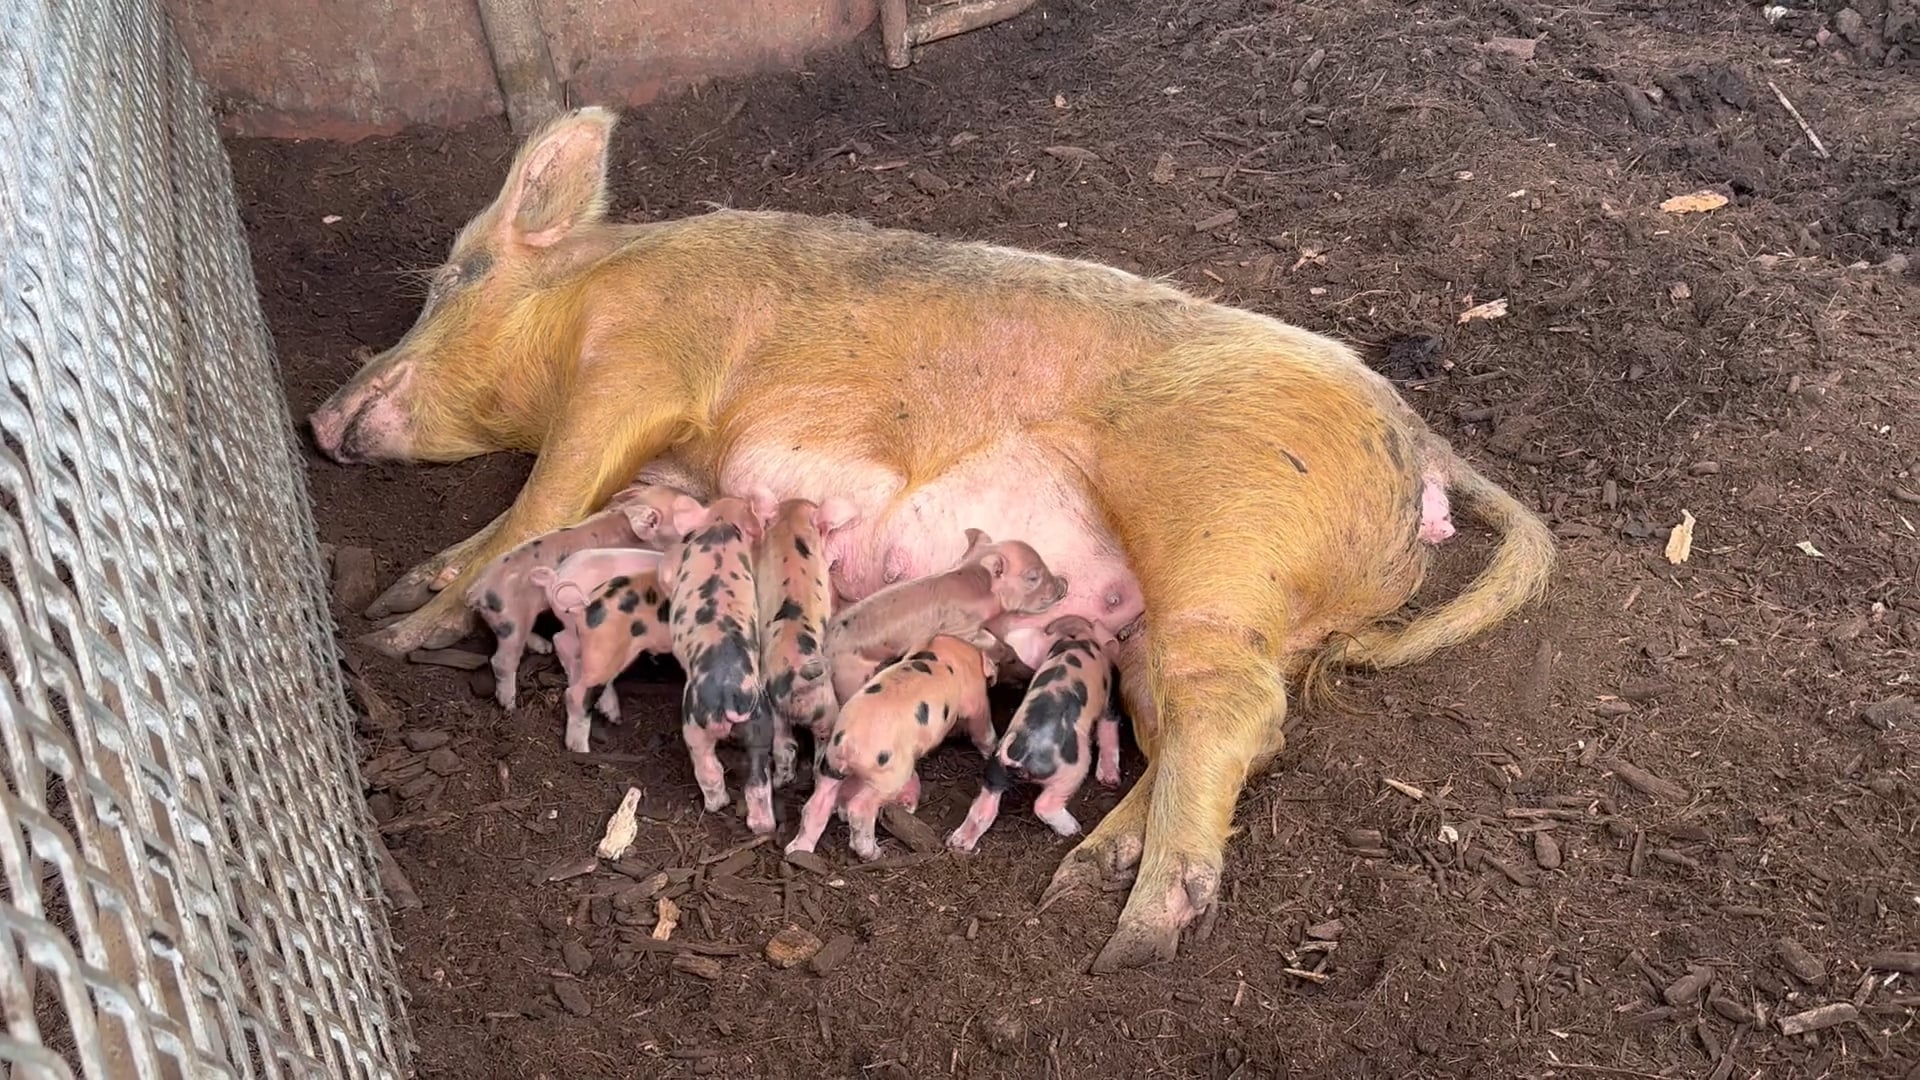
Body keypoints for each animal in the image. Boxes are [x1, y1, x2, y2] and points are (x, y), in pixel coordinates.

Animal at [655, 495, 779, 834]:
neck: (722, 525)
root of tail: (730, 693)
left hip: (695, 722)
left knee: (708, 766)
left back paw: (716, 804)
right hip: (760, 722)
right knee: (758, 780)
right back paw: (762, 826)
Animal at [749, 492, 858, 788]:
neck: (791, 528)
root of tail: (798, 679)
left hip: (776, 710)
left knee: (785, 747)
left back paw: (780, 781)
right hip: (826, 710)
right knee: (820, 751)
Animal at [785, 634, 998, 860]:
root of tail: (847, 742)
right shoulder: (976, 700)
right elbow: (981, 727)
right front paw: (992, 748)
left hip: (830, 765)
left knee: (815, 805)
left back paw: (796, 851)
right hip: (889, 775)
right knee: (859, 808)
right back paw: (874, 853)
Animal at [822, 529, 1068, 705]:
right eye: (1033, 577)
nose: (1064, 583)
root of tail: (824, 645)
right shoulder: (962, 627)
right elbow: (988, 639)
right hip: (848, 676)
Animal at [947, 615, 1124, 853]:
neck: (1075, 636)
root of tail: (1019, 751)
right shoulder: (1109, 697)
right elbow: (1108, 729)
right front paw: (1111, 781)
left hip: (995, 767)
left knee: (983, 806)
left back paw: (958, 844)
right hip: (1072, 769)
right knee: (1043, 805)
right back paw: (1073, 828)